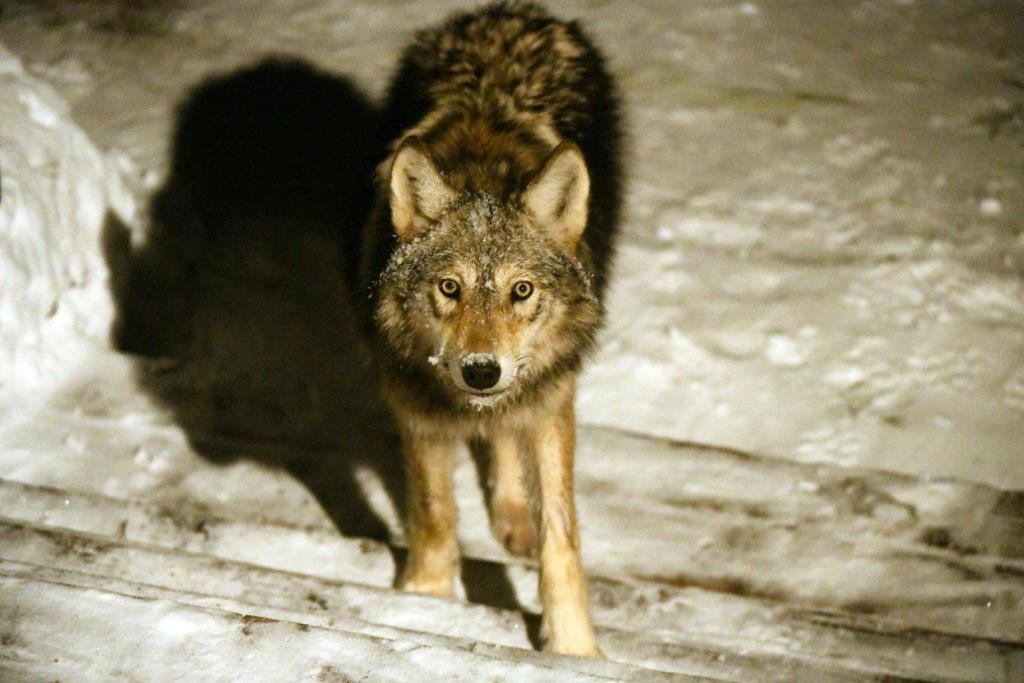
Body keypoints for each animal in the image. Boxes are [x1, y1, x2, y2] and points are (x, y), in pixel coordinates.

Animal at [357, 1, 622, 657]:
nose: (481, 371)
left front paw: (574, 648)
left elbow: (562, 537)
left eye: (520, 291)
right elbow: (434, 513)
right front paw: (425, 600)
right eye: (449, 288)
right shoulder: (416, 407)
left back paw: (512, 516)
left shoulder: (552, 398)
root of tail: (510, 13)